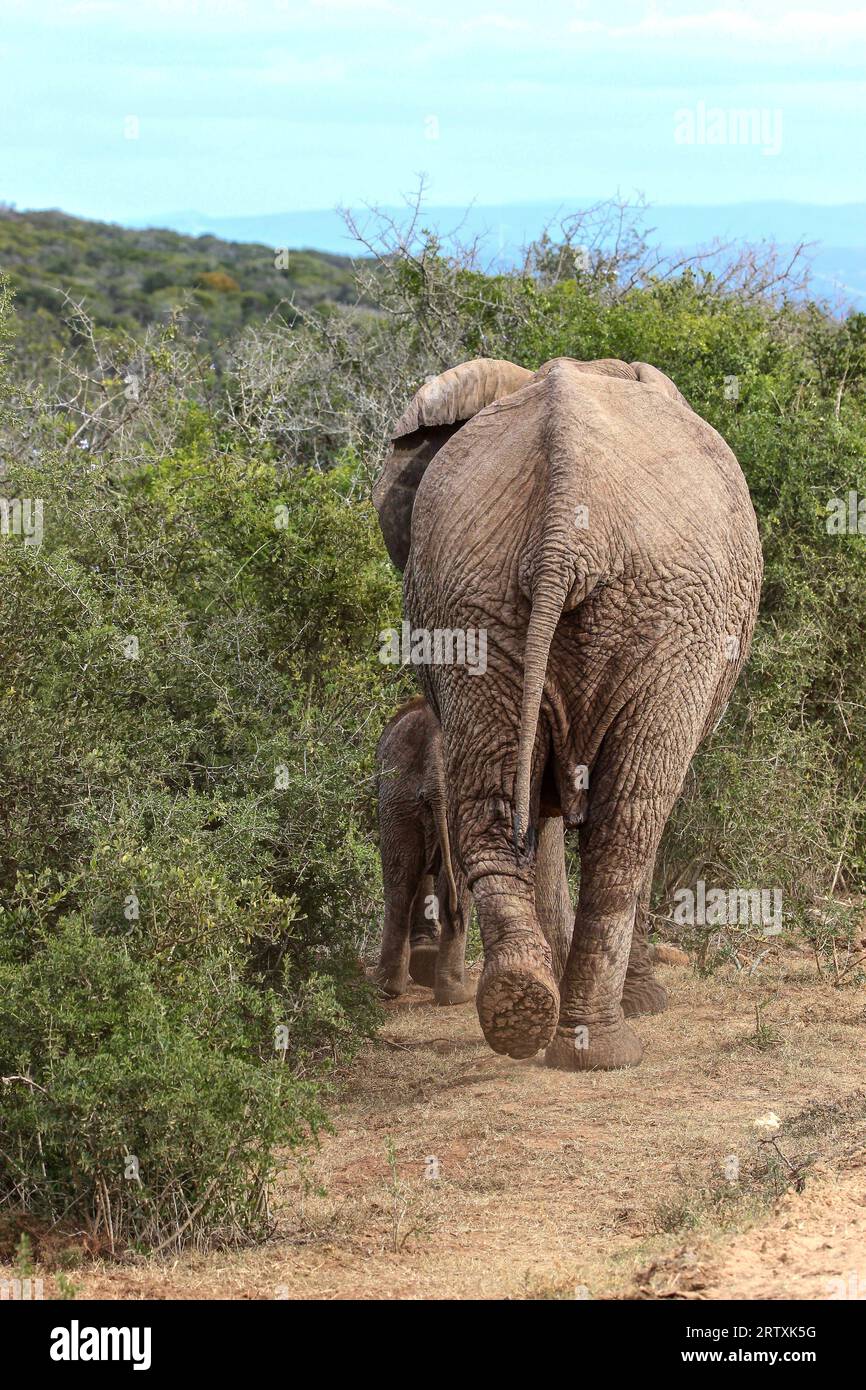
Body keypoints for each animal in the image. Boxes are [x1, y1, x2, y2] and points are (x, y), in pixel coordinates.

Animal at [374, 355, 761, 1070]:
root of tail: (564, 528)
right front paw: (640, 1000)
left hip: (475, 603)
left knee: (496, 806)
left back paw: (523, 1008)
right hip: (675, 625)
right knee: (630, 819)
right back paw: (600, 1042)